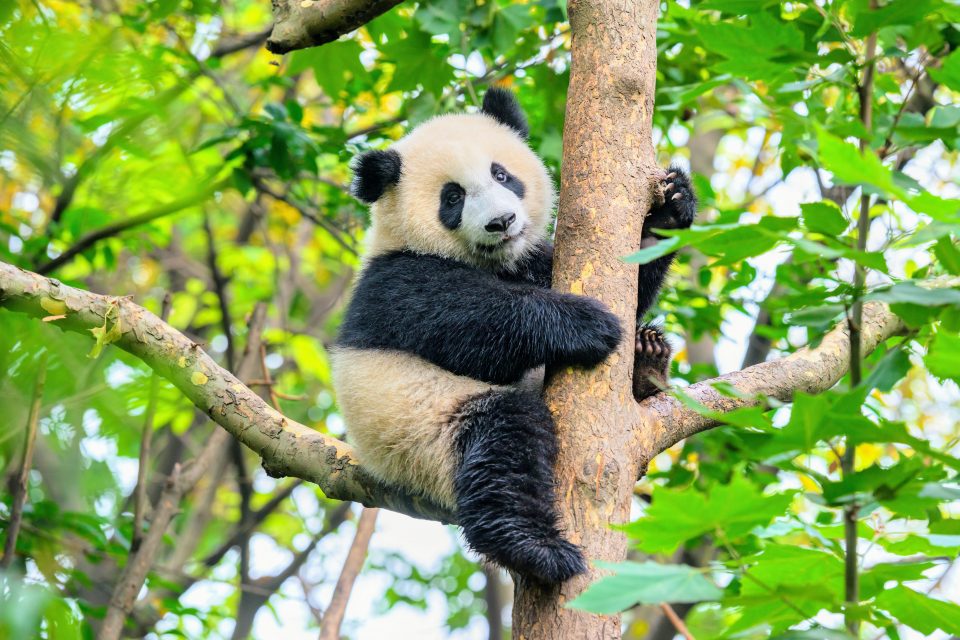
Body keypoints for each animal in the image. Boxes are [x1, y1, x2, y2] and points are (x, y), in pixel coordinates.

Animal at [331, 88, 696, 584]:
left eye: (501, 174)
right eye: (453, 197)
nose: (501, 222)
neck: (492, 261)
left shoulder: (532, 260)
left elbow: (632, 280)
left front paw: (671, 207)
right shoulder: (396, 283)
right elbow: (470, 324)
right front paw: (586, 323)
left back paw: (646, 360)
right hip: (421, 433)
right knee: (502, 445)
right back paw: (535, 548)